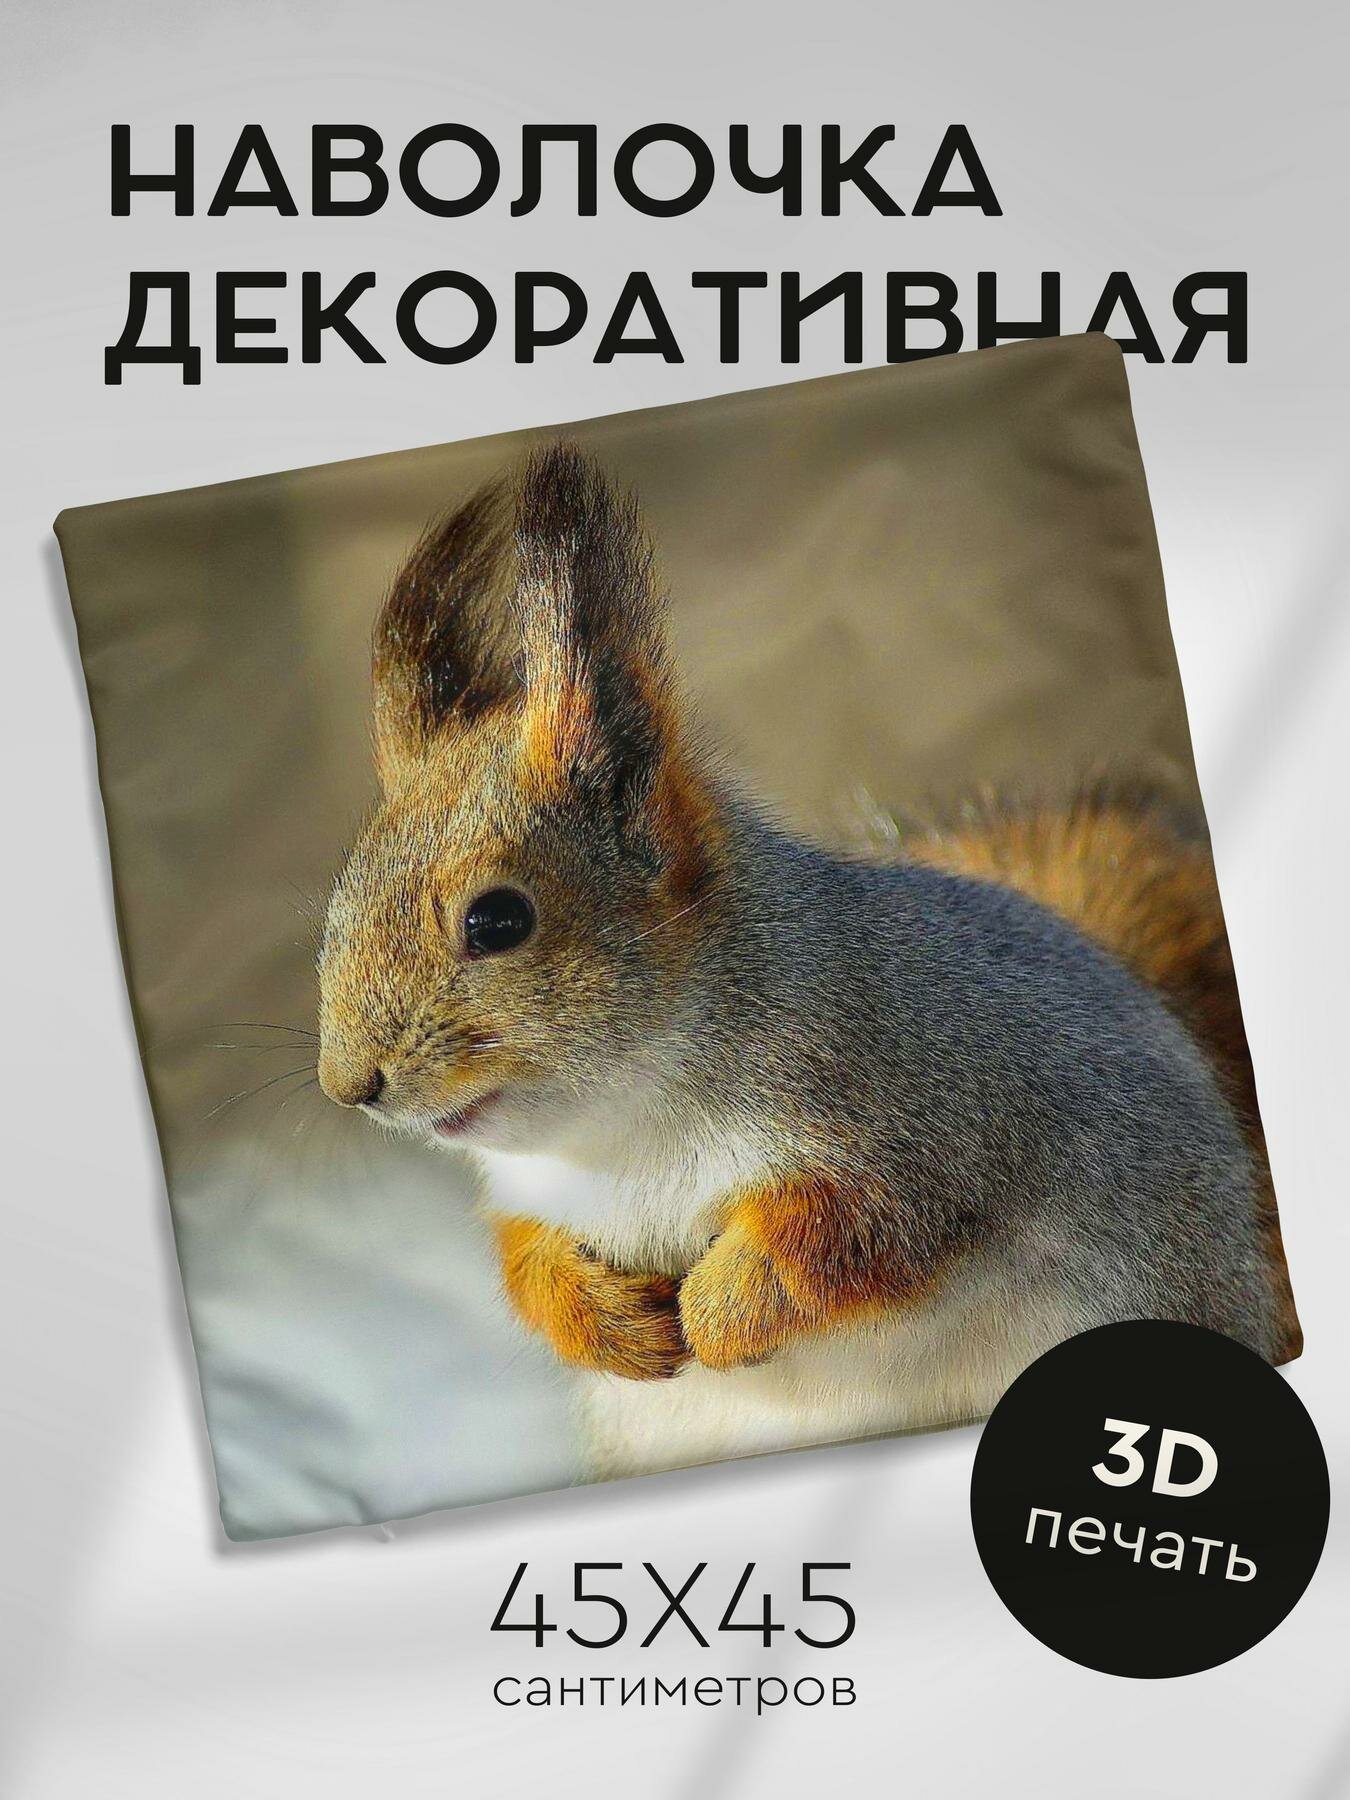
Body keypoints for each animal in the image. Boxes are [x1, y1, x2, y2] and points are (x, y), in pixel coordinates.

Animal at [316, 443, 1295, 1480]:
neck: (623, 1122)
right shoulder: (531, 1197)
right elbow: (527, 1261)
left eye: (499, 919)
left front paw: (718, 1312)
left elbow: (852, 1235)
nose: (351, 1085)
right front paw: (610, 1325)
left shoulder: (943, 1124)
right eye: (341, 894)